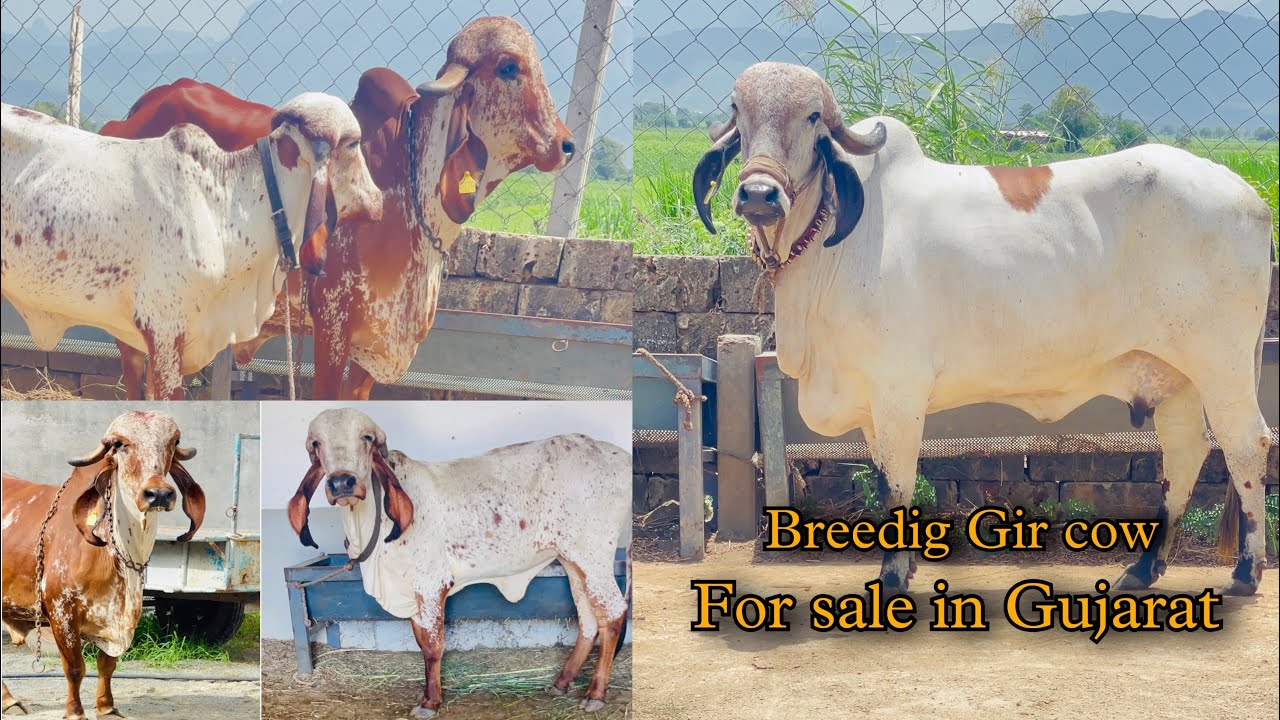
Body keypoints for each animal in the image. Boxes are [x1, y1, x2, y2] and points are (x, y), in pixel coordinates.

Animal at [1, 411, 205, 719]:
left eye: (174, 442)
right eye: (120, 444)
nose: (158, 494)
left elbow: (107, 665)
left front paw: (106, 707)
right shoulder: (61, 610)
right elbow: (75, 668)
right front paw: (75, 711)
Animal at [287, 409, 630, 716]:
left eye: (366, 437)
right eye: (316, 443)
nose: (342, 483)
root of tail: (619, 455)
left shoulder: (430, 584)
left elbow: (432, 645)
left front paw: (429, 702)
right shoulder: (415, 591)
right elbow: (421, 639)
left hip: (593, 557)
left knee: (613, 613)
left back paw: (595, 694)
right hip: (573, 561)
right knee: (588, 619)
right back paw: (562, 681)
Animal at [694, 62, 1274, 595]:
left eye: (813, 116)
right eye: (739, 114)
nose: (759, 194)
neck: (833, 250)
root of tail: (1251, 197)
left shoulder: (899, 392)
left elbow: (896, 485)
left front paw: (893, 576)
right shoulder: (870, 402)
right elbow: (884, 480)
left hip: (1220, 365)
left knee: (1246, 444)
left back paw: (1246, 571)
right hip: (1174, 373)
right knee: (1186, 452)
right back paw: (1145, 567)